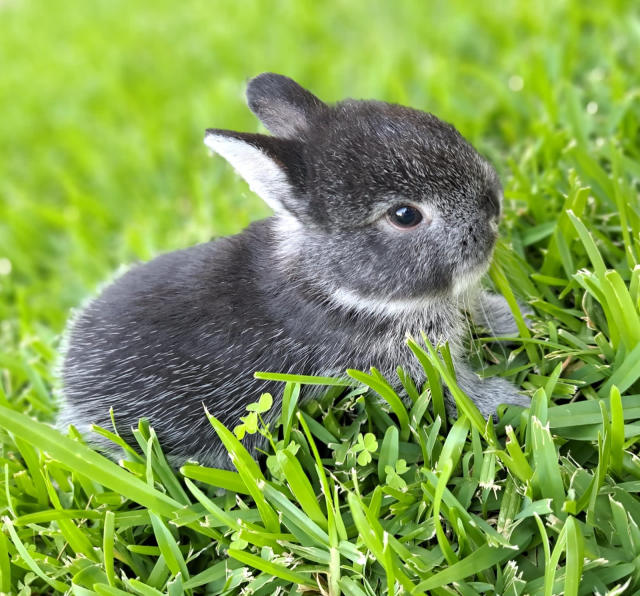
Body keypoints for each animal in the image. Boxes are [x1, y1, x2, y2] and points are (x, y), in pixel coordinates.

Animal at [58, 73, 530, 468]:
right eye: (404, 215)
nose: (493, 210)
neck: (332, 284)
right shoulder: (395, 364)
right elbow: (454, 389)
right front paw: (513, 403)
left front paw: (521, 320)